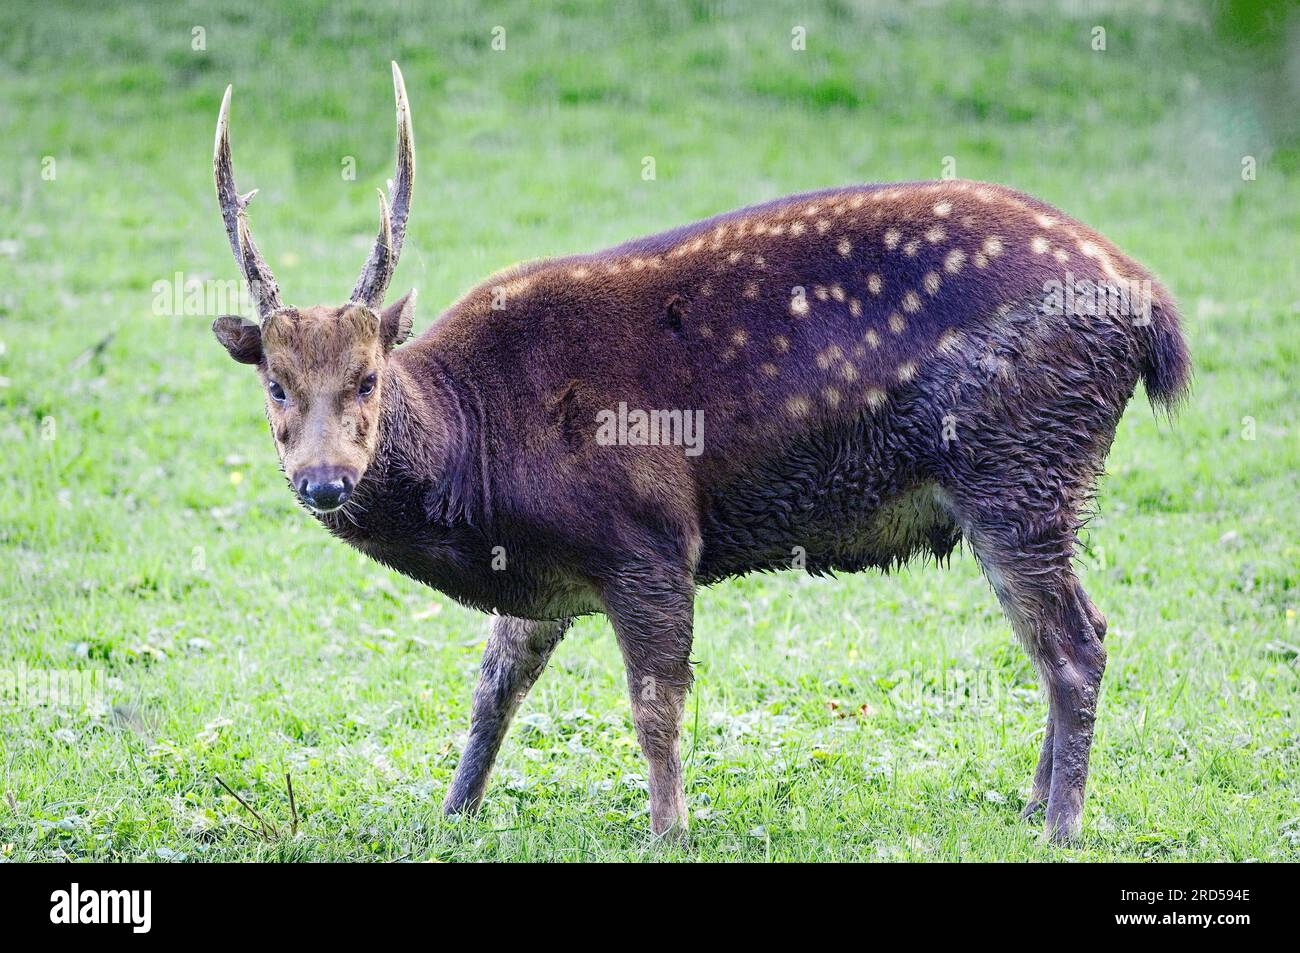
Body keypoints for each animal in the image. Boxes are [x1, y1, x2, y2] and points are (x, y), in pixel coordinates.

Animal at [209, 63, 1190, 843]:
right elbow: (494, 688)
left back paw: (1061, 823)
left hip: (1018, 464)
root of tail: (1153, 312)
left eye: (369, 377)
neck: (482, 454)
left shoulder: (648, 534)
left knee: (1075, 645)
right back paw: (1030, 804)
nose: (324, 480)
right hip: (1034, 476)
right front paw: (451, 813)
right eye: (276, 384)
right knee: (1077, 632)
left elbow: (656, 703)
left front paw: (669, 828)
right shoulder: (548, 572)